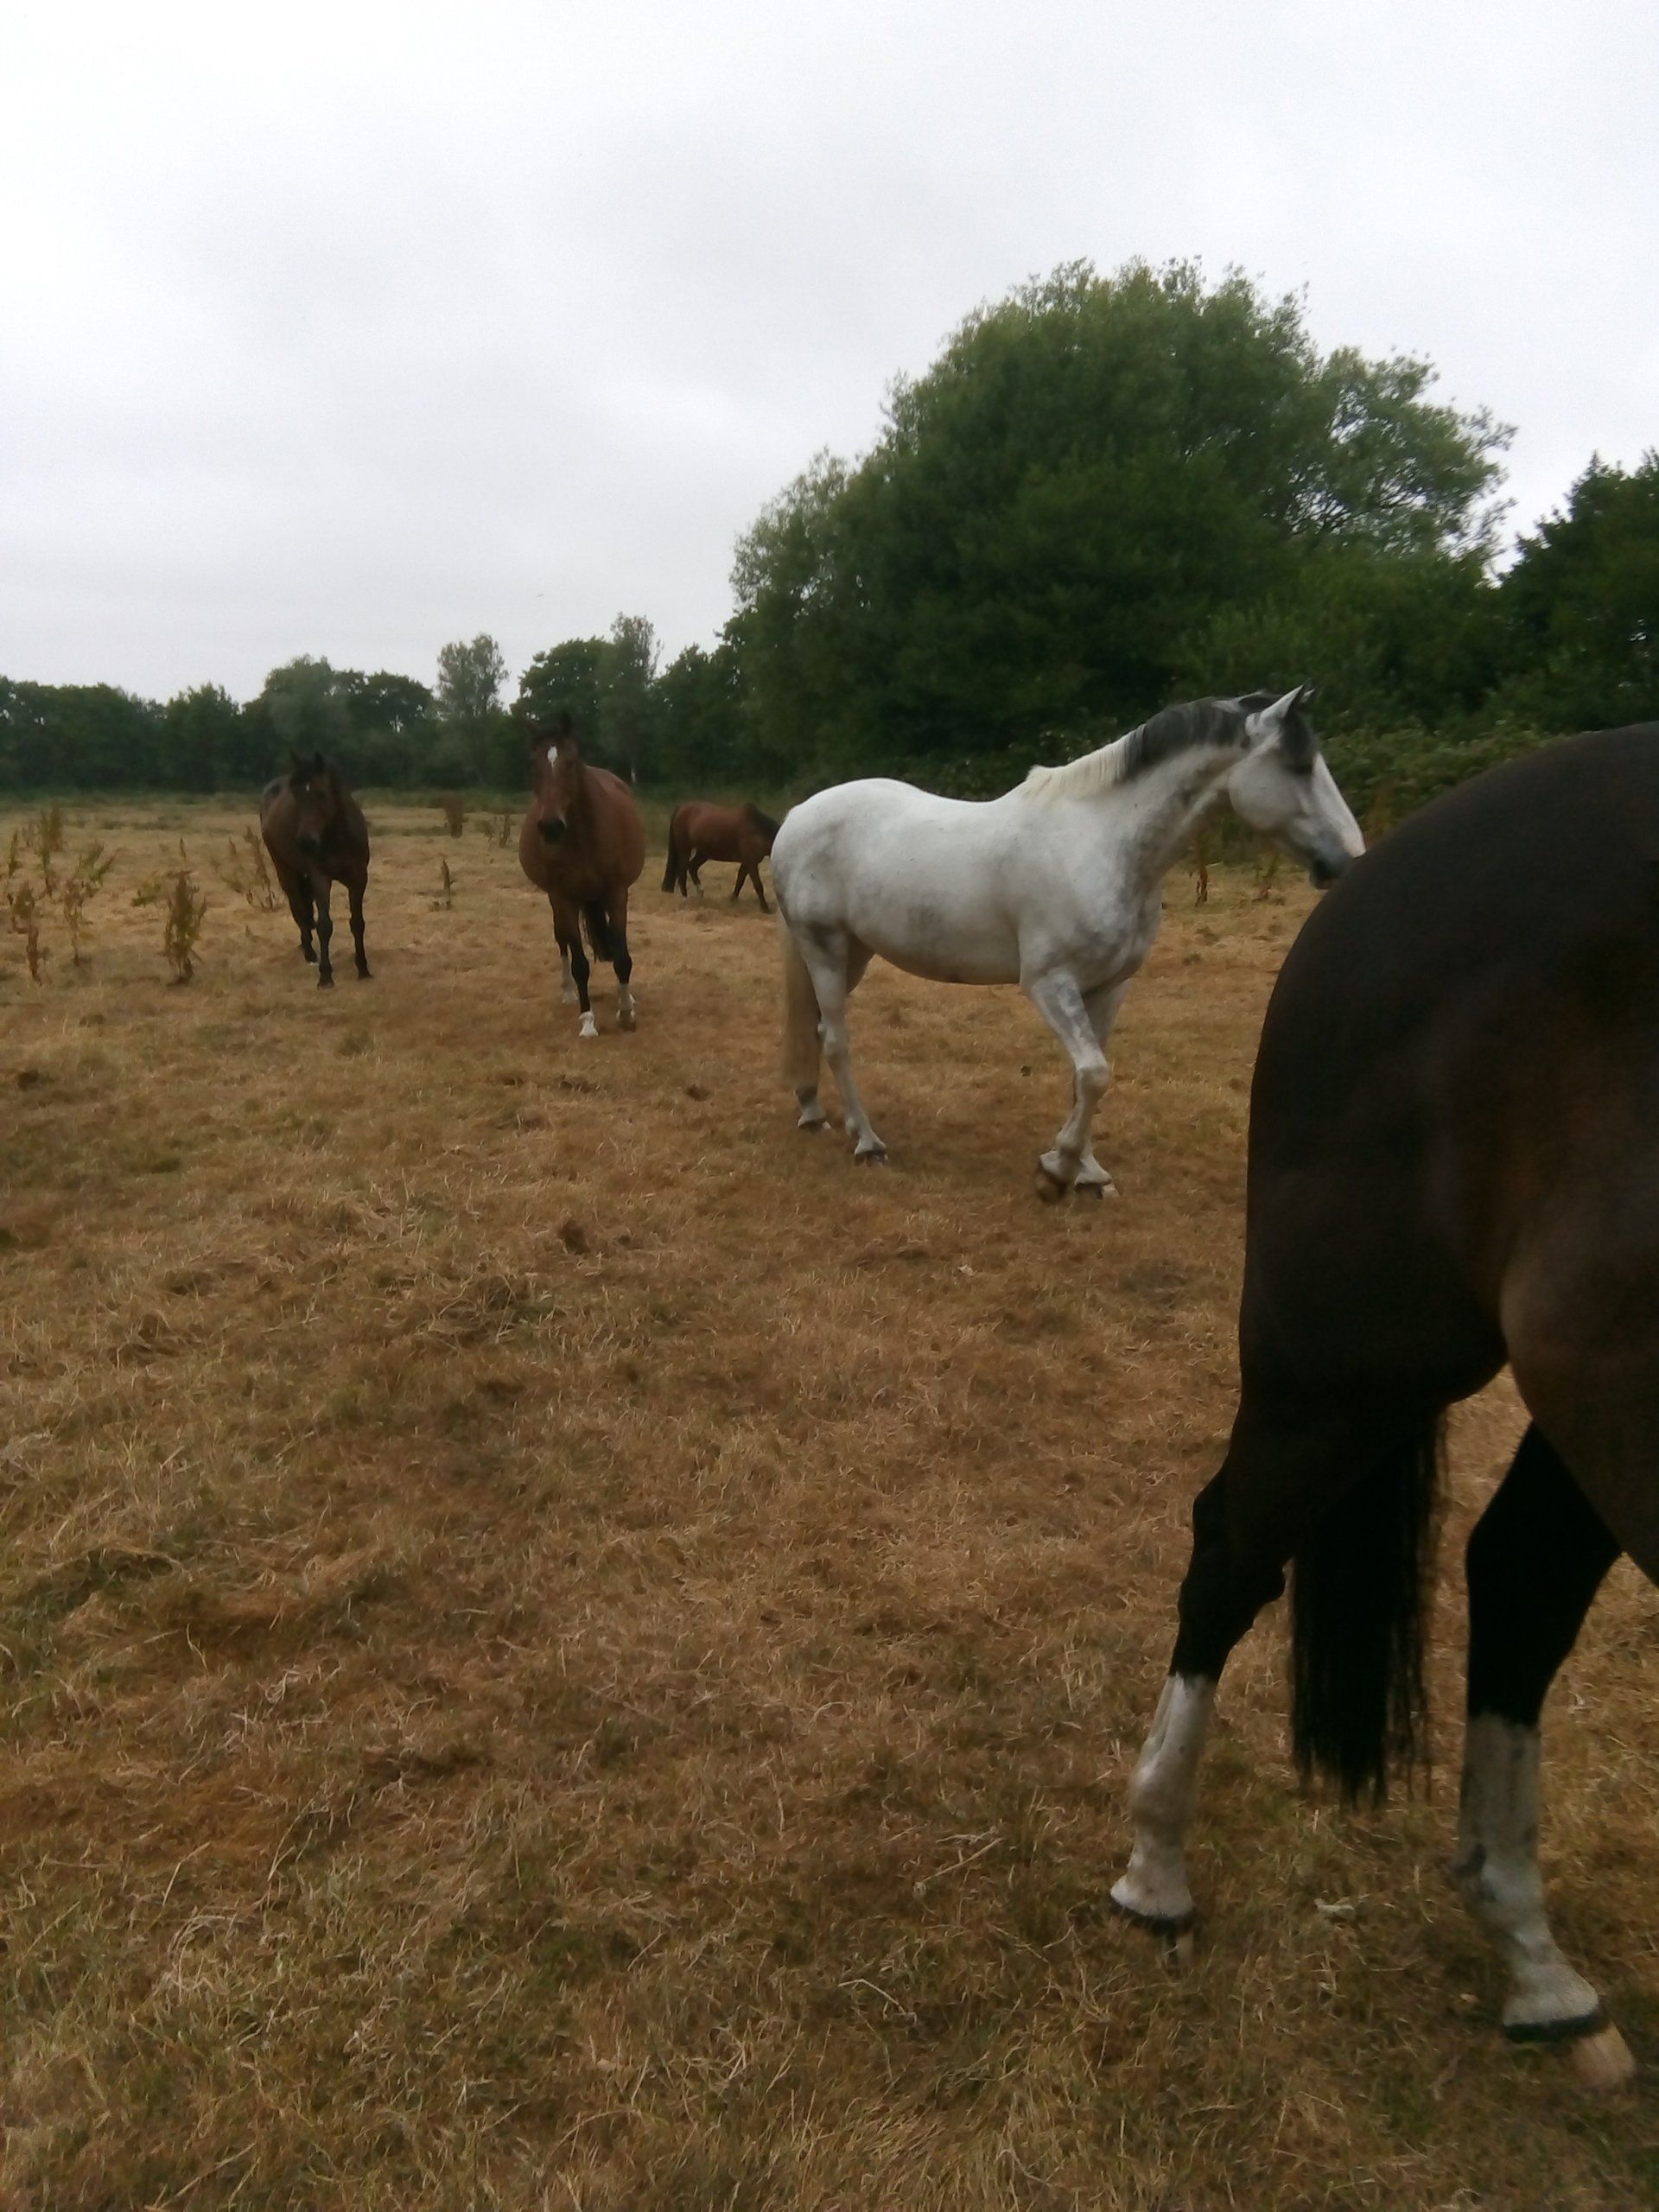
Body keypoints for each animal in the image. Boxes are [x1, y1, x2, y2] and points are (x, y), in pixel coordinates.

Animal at [259, 751, 371, 987]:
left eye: (321, 794)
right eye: (295, 795)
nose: (305, 842)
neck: (339, 838)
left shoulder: (359, 879)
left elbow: (357, 923)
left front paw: (363, 968)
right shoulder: (321, 878)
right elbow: (324, 925)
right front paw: (326, 976)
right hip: (286, 871)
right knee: (299, 910)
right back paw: (310, 953)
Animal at [518, 714, 645, 1037]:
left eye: (571, 762)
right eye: (533, 764)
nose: (551, 826)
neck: (586, 834)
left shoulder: (617, 893)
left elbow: (622, 957)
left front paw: (626, 1012)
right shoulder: (564, 898)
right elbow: (579, 963)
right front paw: (587, 1020)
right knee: (561, 938)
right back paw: (568, 992)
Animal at [662, 801, 780, 909]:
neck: (757, 829)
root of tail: (681, 808)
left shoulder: (747, 862)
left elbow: (740, 881)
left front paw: (733, 901)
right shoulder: (751, 862)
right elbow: (758, 885)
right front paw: (765, 908)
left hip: (703, 853)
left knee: (692, 868)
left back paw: (700, 893)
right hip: (685, 851)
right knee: (683, 872)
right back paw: (685, 900)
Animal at [772, 688, 1361, 1193]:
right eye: (1298, 766)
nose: (1347, 863)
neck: (1101, 842)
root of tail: (799, 815)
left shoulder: (1109, 986)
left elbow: (1088, 1077)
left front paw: (1087, 1173)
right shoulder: (1049, 983)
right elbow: (1096, 1073)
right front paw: (1058, 1169)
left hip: (855, 952)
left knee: (818, 1028)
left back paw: (815, 1112)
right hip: (825, 947)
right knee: (837, 1039)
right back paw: (868, 1143)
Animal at [1111, 722, 1659, 2092]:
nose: (1331, 846)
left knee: (1517, 1575)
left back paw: (1537, 1967)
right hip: (1355, 1357)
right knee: (1235, 1547)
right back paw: (1156, 1870)